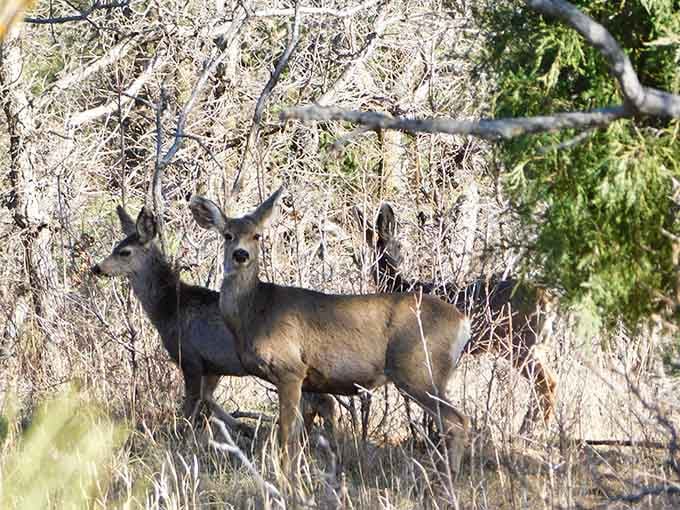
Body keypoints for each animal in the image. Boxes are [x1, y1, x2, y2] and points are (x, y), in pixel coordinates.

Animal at [91, 206, 337, 437]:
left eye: (124, 252)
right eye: (116, 247)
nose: (97, 268)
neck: (168, 308)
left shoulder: (190, 357)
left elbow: (191, 405)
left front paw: (183, 437)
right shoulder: (213, 365)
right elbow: (207, 398)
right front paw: (243, 427)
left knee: (322, 402)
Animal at [189, 187, 473, 476]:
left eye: (257, 235)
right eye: (228, 235)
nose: (240, 255)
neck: (256, 312)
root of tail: (462, 321)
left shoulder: (290, 369)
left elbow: (286, 433)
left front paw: (286, 478)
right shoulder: (308, 381)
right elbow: (302, 432)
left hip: (419, 369)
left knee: (457, 421)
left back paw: (448, 477)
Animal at [356, 203, 557, 435]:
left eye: (398, 245)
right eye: (379, 248)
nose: (393, 263)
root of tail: (548, 299)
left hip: (522, 344)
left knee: (547, 384)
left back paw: (529, 432)